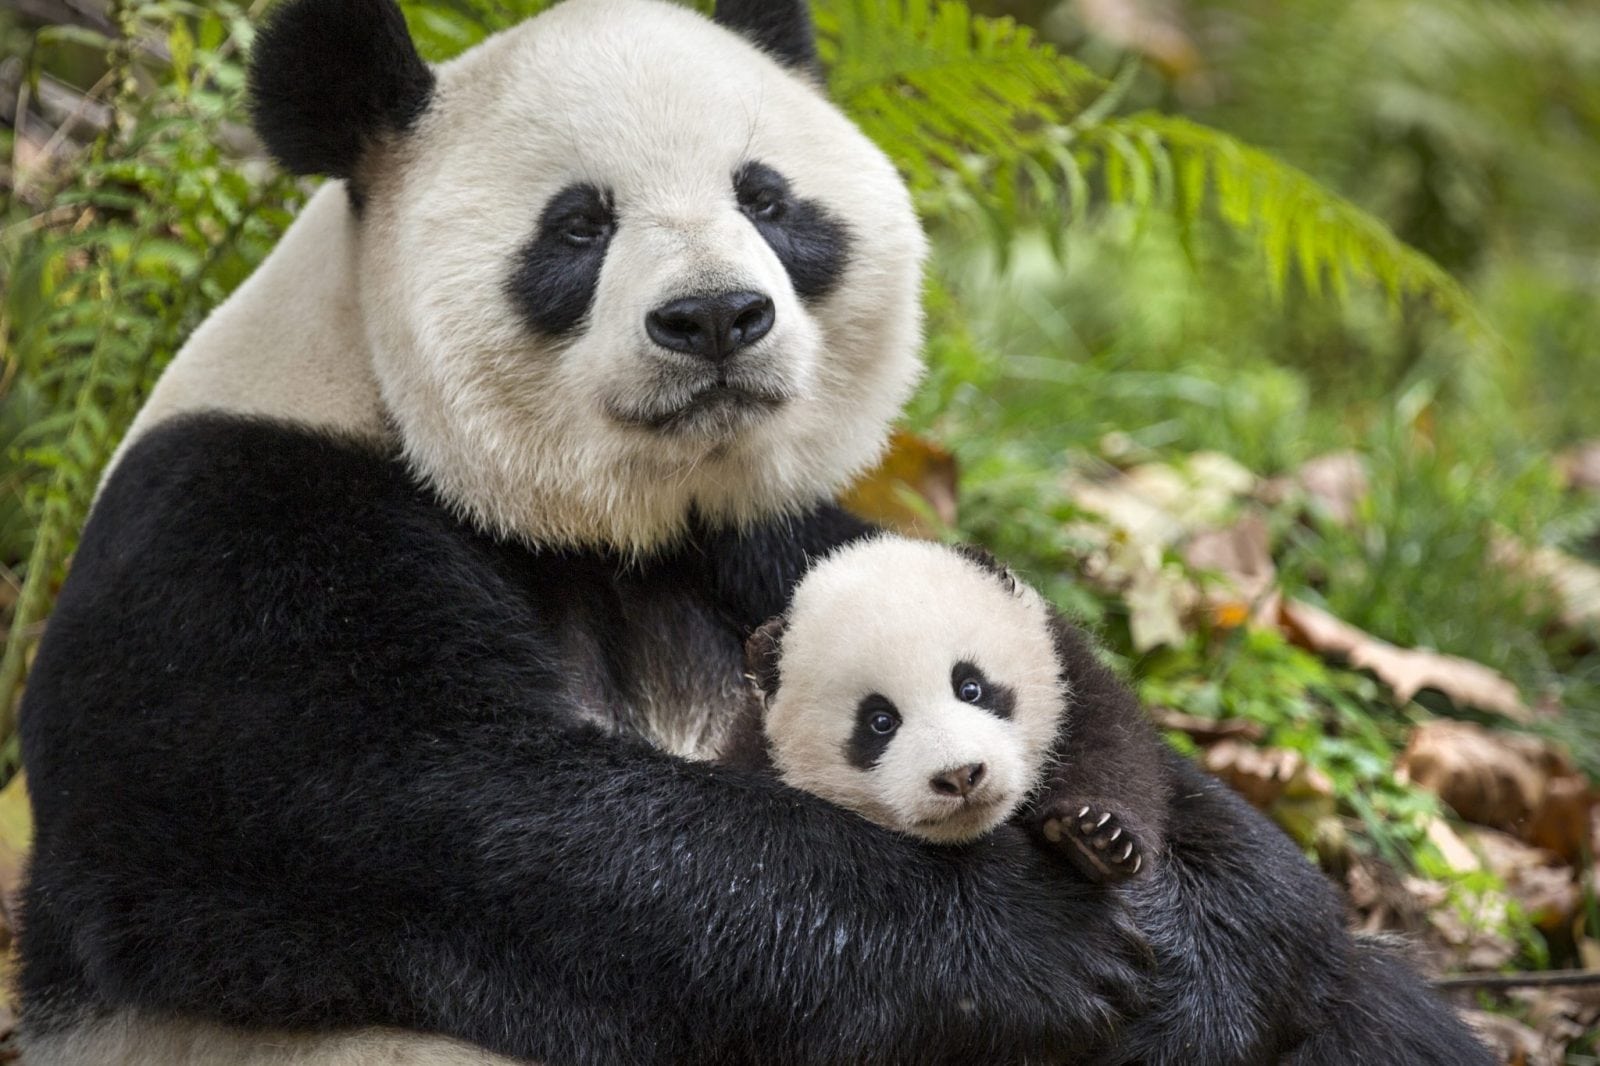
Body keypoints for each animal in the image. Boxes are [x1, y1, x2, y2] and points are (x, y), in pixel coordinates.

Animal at [724, 536, 1166, 883]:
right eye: (880, 722)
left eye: (971, 687)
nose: (960, 776)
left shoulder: (1068, 671)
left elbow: (1112, 742)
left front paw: (1097, 837)